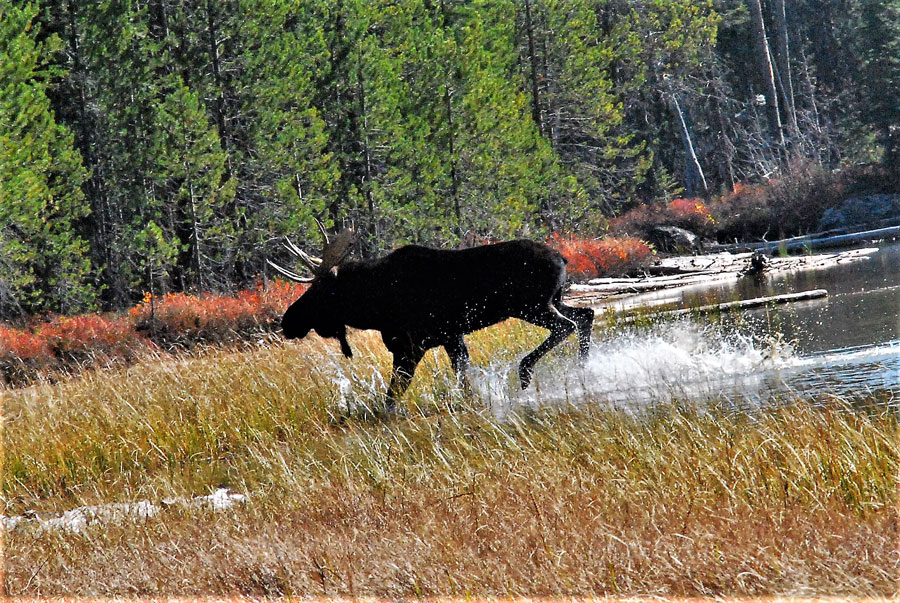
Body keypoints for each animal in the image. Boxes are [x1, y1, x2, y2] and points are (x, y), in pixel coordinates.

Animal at [268, 226, 594, 413]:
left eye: (319, 292)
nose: (288, 321)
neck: (374, 305)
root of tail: (563, 259)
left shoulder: (419, 343)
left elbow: (395, 394)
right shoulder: (442, 339)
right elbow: (455, 375)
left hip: (532, 306)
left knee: (568, 325)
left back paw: (526, 372)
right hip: (553, 300)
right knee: (585, 315)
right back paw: (582, 366)